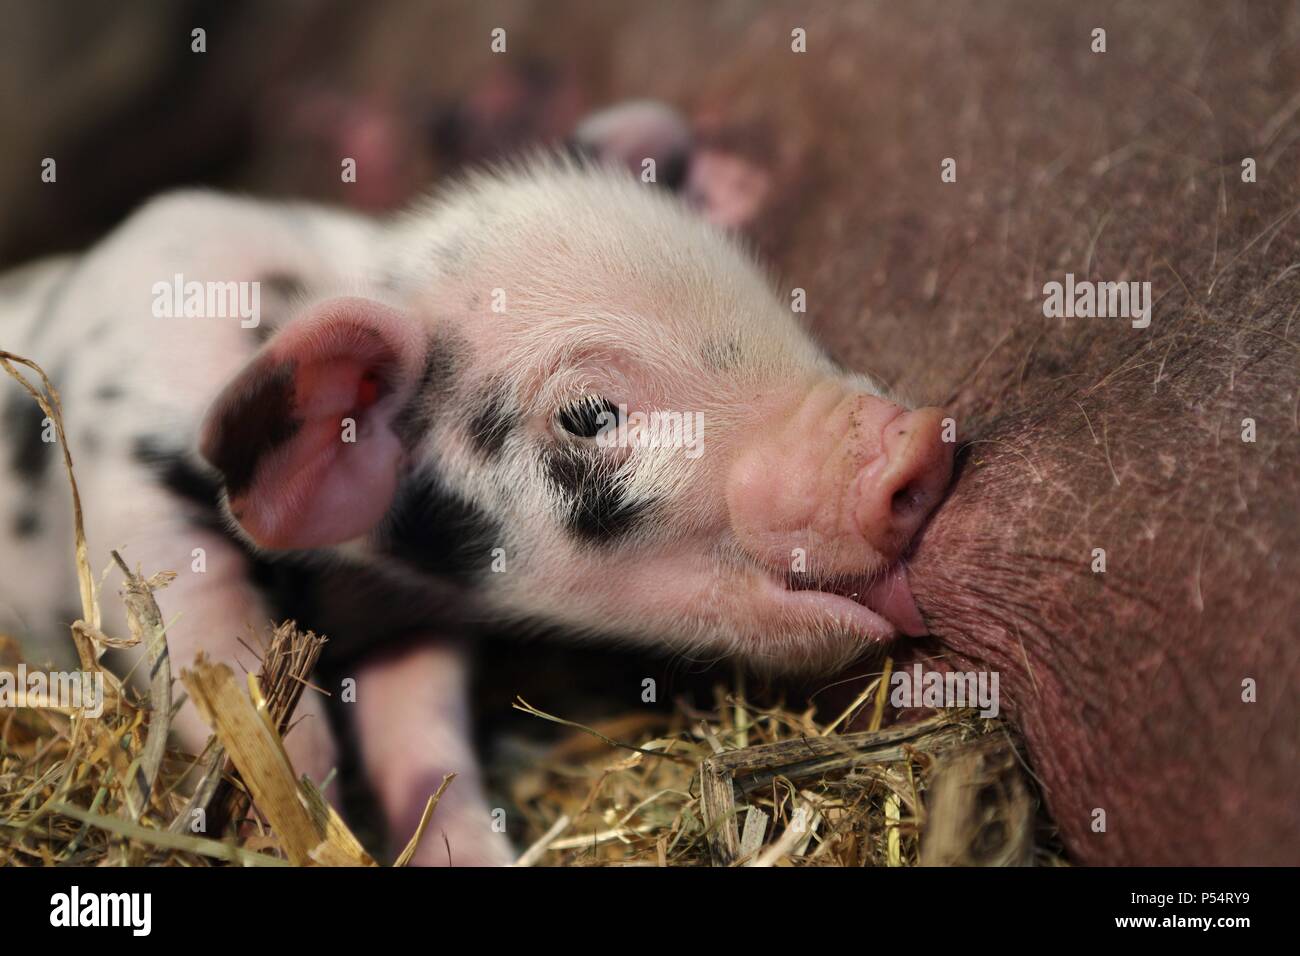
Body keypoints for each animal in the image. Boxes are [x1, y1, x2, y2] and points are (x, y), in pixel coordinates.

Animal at [0, 153, 954, 865]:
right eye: (589, 413)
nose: (919, 440)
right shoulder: (133, 507)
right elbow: (216, 661)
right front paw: (300, 814)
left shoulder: (411, 616)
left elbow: (425, 739)